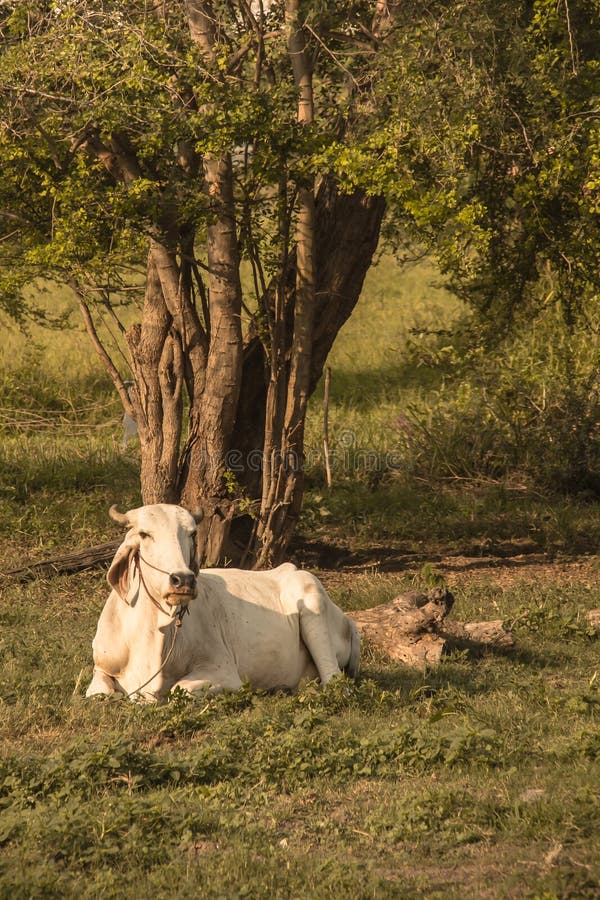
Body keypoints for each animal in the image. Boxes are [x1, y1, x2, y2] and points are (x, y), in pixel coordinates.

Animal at [86, 503, 360, 702]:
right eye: (144, 534)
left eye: (192, 533)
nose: (183, 580)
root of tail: (346, 618)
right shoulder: (100, 668)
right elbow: (98, 694)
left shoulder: (224, 672)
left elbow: (179, 689)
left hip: (311, 599)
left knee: (334, 680)